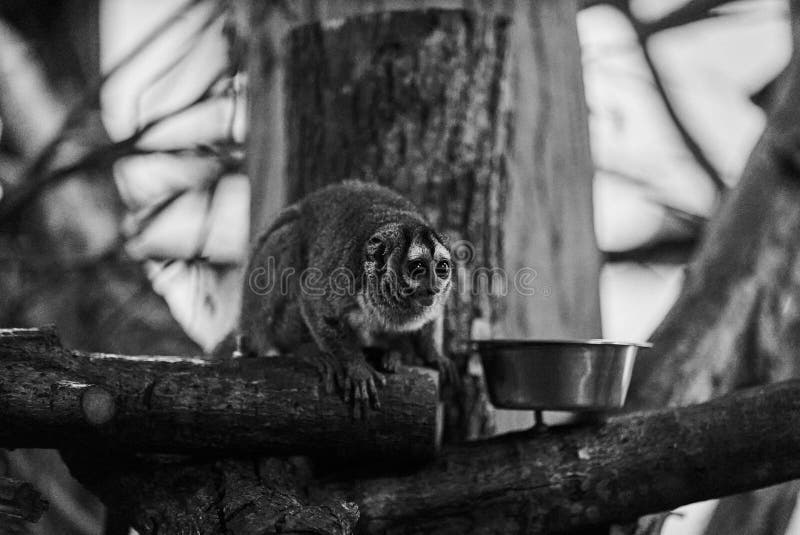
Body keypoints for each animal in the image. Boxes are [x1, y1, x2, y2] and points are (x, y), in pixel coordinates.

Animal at [239, 180, 455, 413]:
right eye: (418, 268)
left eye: (442, 268)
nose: (434, 287)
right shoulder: (344, 274)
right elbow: (315, 305)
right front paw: (357, 368)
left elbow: (431, 318)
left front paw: (432, 356)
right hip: (261, 317)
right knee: (290, 237)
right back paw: (307, 351)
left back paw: (388, 353)